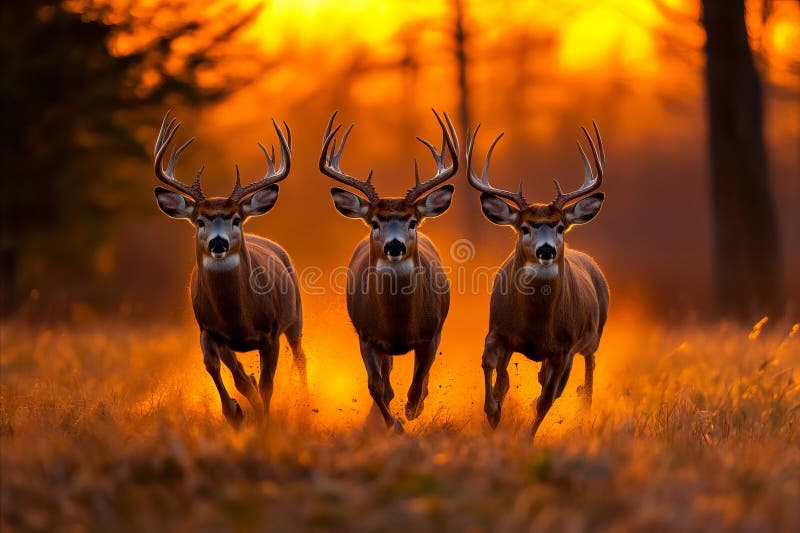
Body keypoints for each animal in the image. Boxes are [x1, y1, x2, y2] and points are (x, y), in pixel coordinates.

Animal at [152, 111, 306, 427]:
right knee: (242, 373)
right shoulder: (209, 330)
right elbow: (223, 372)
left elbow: (267, 384)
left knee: (300, 359)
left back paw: (306, 406)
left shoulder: (270, 333)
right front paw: (234, 411)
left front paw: (264, 421)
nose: (218, 242)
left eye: (236, 219)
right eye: (200, 220)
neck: (238, 318)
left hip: (295, 317)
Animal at [319, 110, 459, 434]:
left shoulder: (432, 333)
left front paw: (412, 411)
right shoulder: (366, 336)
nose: (394, 245)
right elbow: (376, 387)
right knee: (385, 380)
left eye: (412, 221)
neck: (398, 326)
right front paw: (393, 423)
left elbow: (418, 384)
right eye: (374, 222)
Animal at [465, 121, 609, 439]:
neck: (534, 326)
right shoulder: (498, 331)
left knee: (584, 377)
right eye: (525, 228)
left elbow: (546, 400)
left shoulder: (563, 349)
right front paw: (493, 413)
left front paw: (527, 437)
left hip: (591, 339)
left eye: (559, 227)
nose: (546, 250)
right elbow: (492, 368)